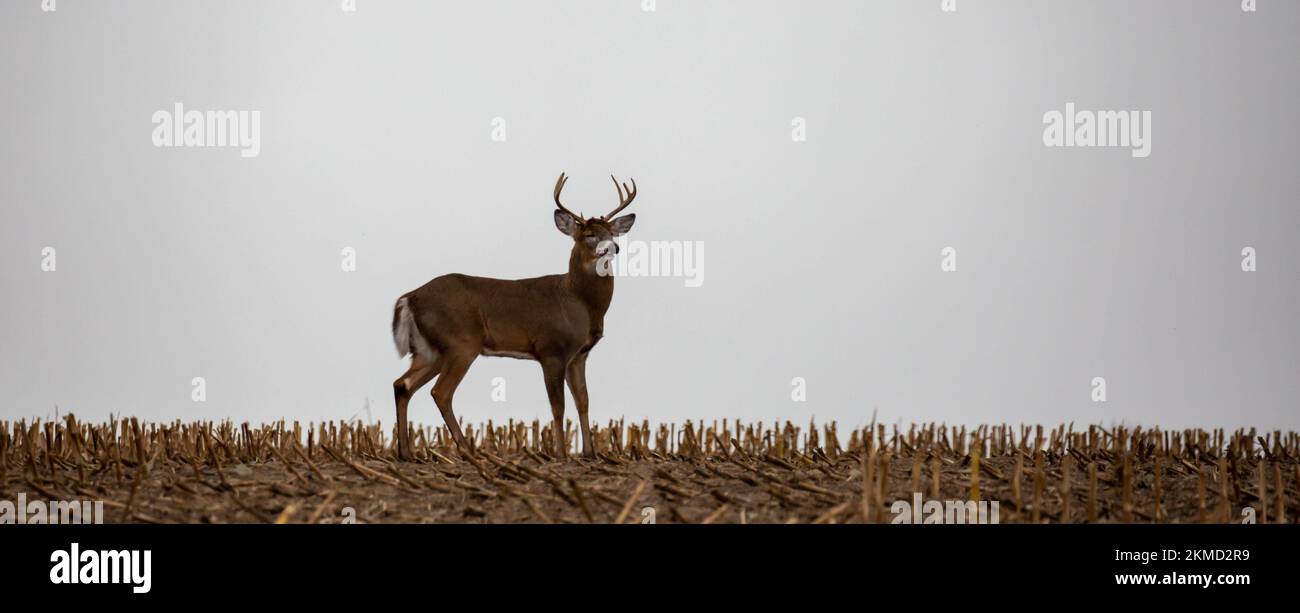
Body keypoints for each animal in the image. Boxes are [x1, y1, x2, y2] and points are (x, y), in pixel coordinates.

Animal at [391, 173, 639, 461]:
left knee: (402, 384)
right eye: (588, 234)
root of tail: (410, 297)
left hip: (429, 350)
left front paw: (589, 453)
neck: (579, 301)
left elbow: (583, 401)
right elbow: (558, 405)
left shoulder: (579, 355)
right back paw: (467, 452)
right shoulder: (551, 349)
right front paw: (561, 454)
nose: (612, 247)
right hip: (460, 343)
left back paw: (406, 453)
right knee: (440, 392)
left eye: (611, 232)